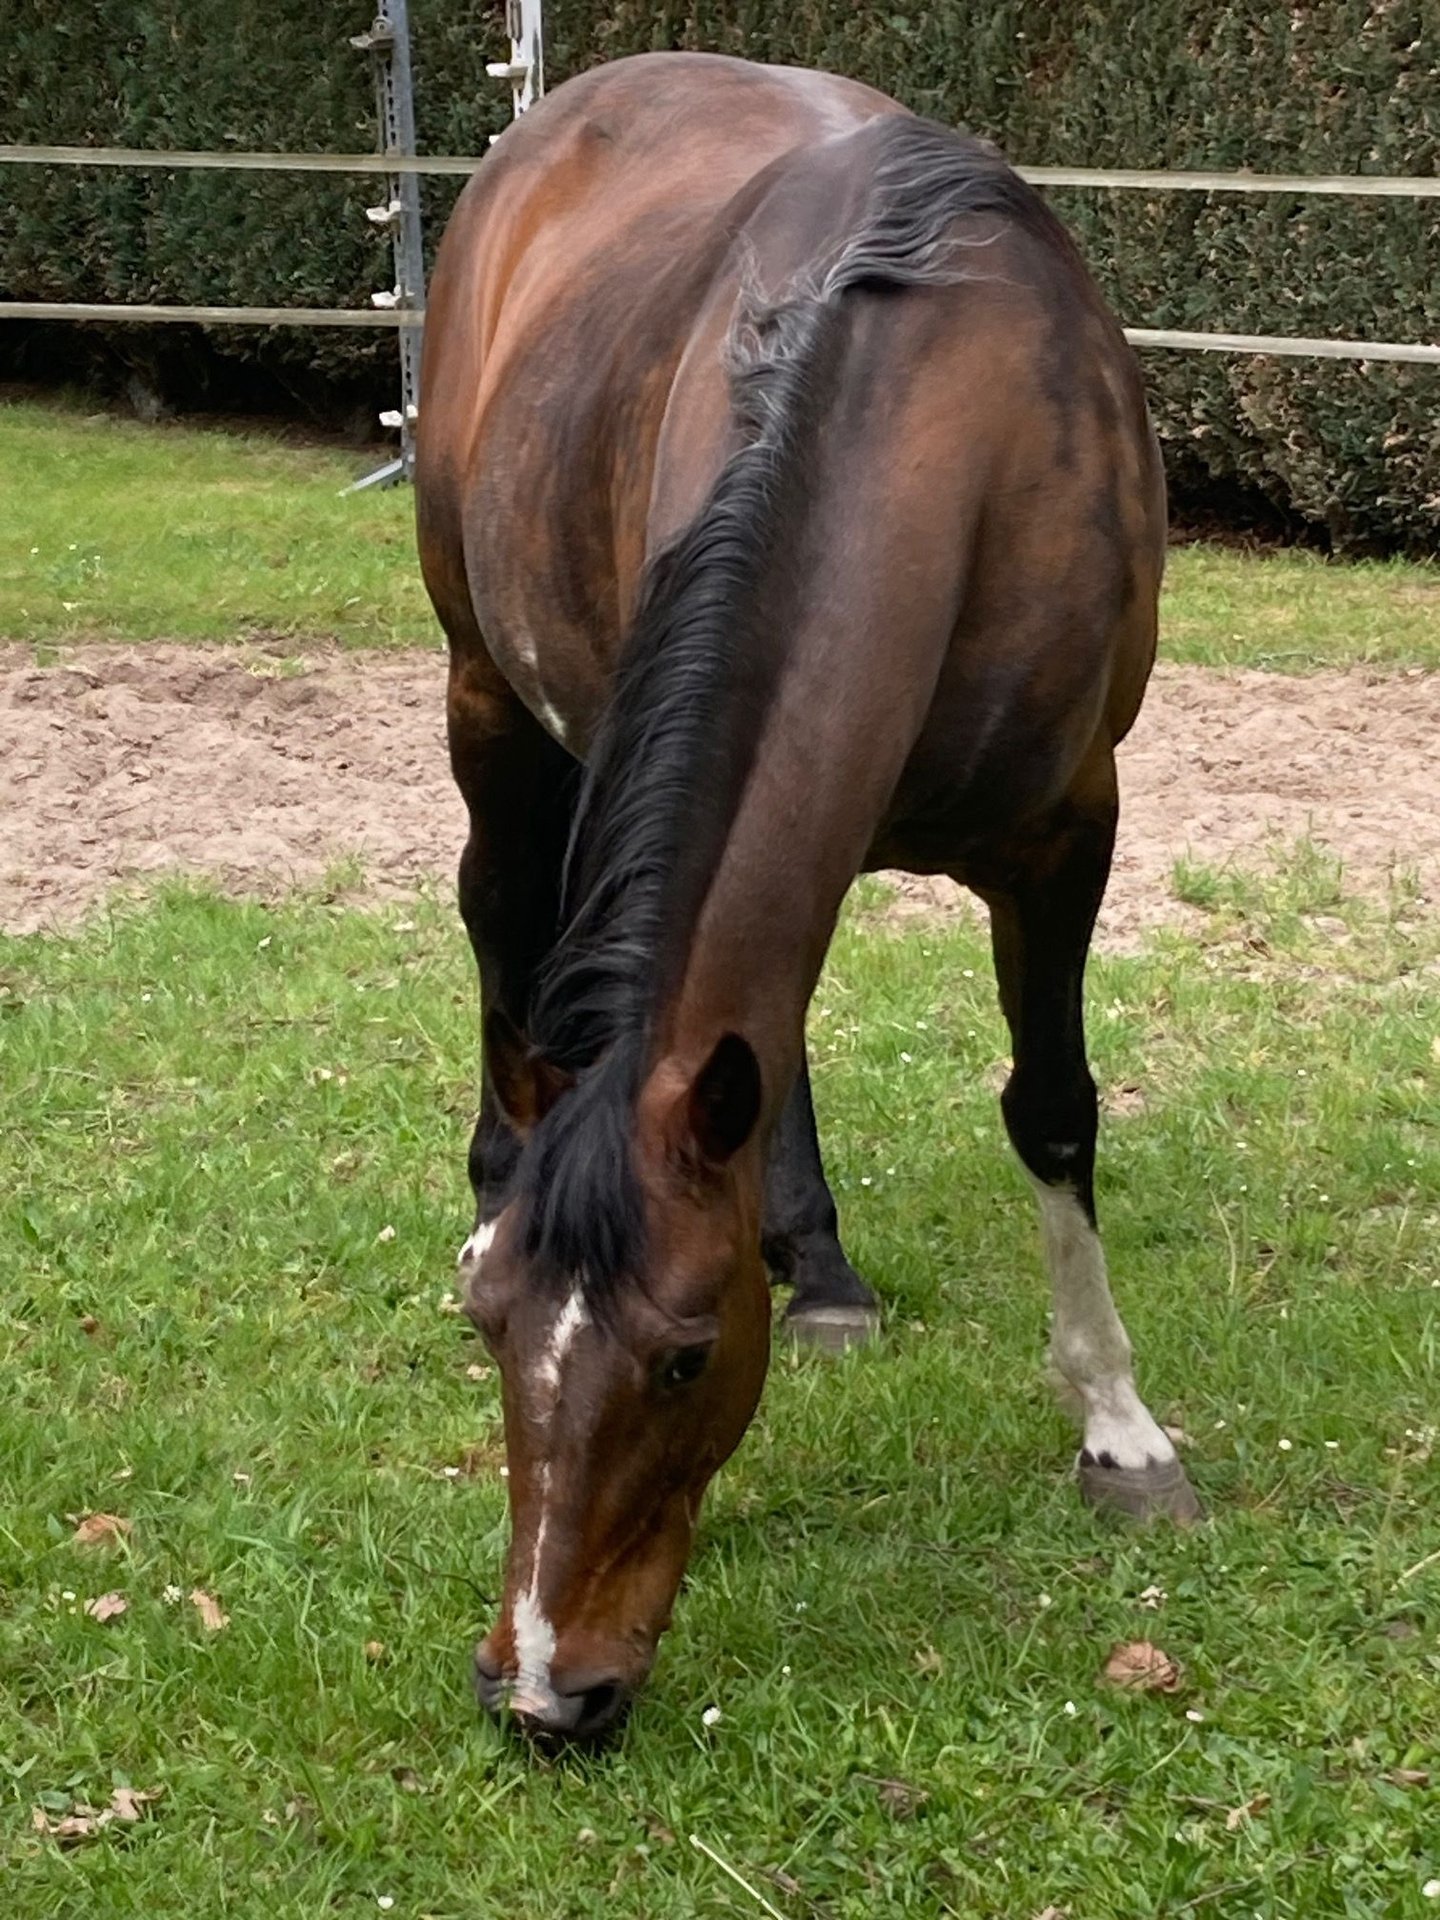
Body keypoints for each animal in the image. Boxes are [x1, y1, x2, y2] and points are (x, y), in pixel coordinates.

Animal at [415, 50, 1200, 1744]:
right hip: (482, 687)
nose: (542, 1690)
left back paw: (823, 1262)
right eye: (493, 1331)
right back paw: (505, 1162)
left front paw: (1118, 1425)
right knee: (496, 912)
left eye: (686, 1355)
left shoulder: (1071, 834)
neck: (945, 422)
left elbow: (1053, 1111)